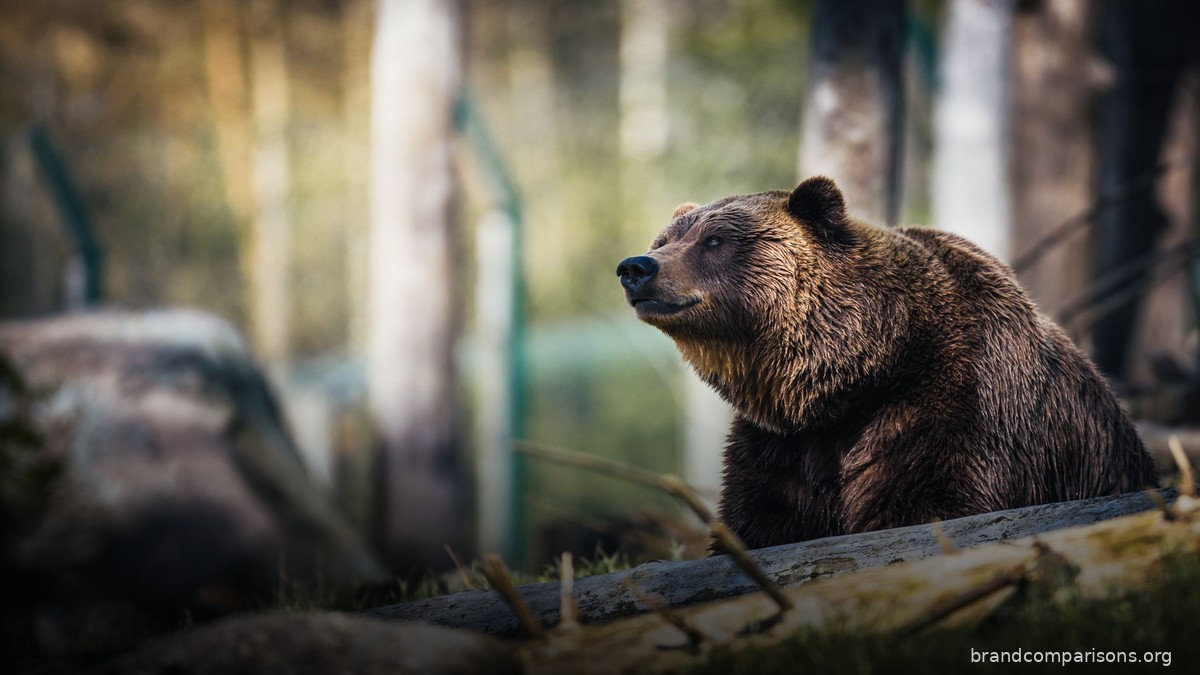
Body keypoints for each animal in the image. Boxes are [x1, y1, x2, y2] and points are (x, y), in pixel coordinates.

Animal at [616, 176, 1158, 550]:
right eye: (665, 240)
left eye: (714, 241)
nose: (636, 267)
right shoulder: (781, 444)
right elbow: (762, 520)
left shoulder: (952, 404)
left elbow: (925, 503)